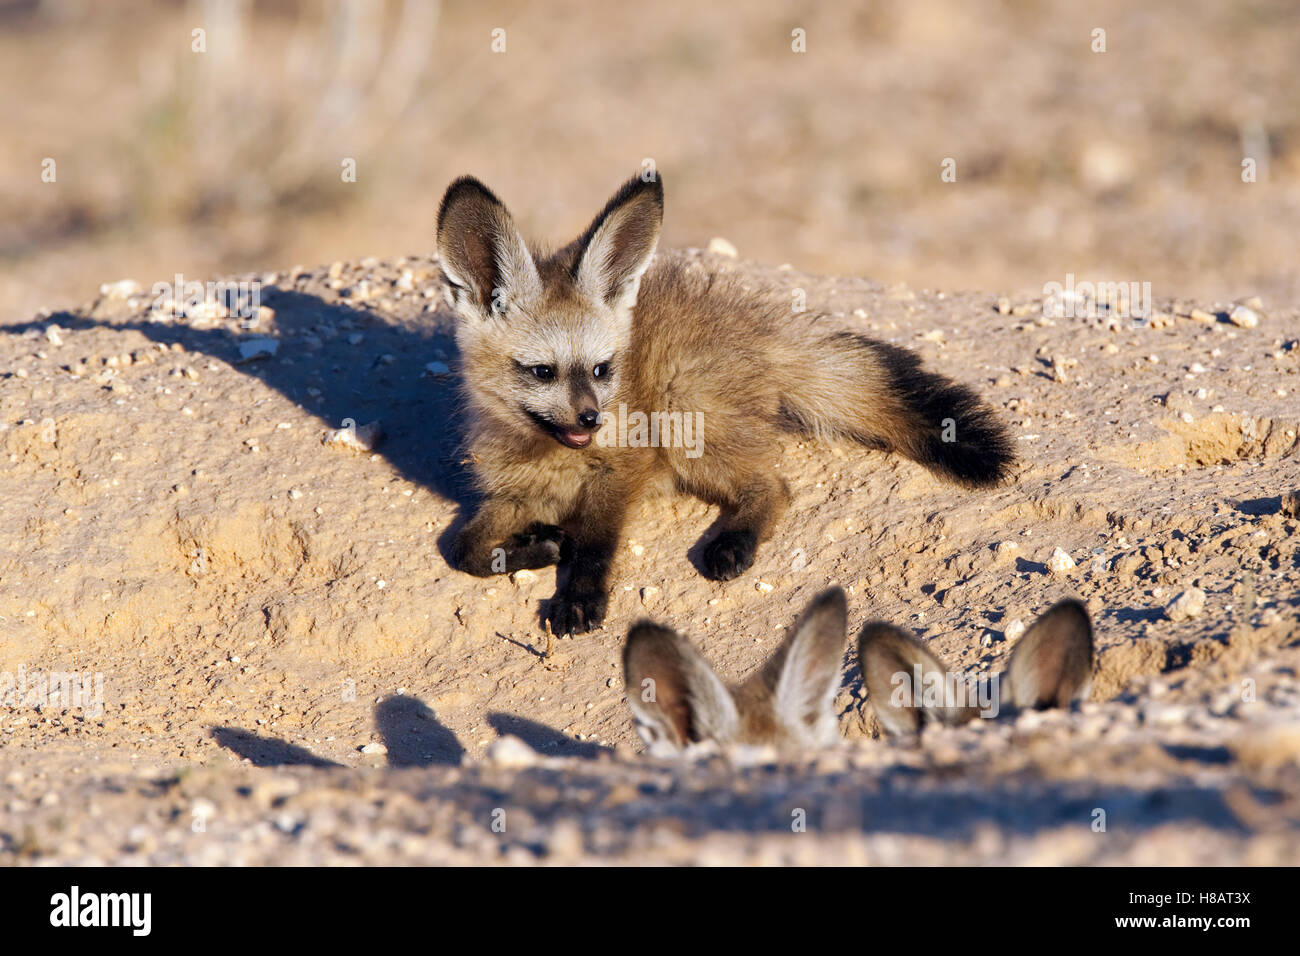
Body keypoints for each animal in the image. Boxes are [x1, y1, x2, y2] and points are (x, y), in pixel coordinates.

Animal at [435, 171, 1014, 635]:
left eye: (601, 370)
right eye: (542, 372)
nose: (592, 419)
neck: (548, 460)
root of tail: (755, 334)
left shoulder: (623, 470)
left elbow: (596, 545)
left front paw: (580, 596)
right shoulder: (508, 495)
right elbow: (463, 549)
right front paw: (539, 545)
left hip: (682, 415)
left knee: (775, 487)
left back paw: (733, 545)